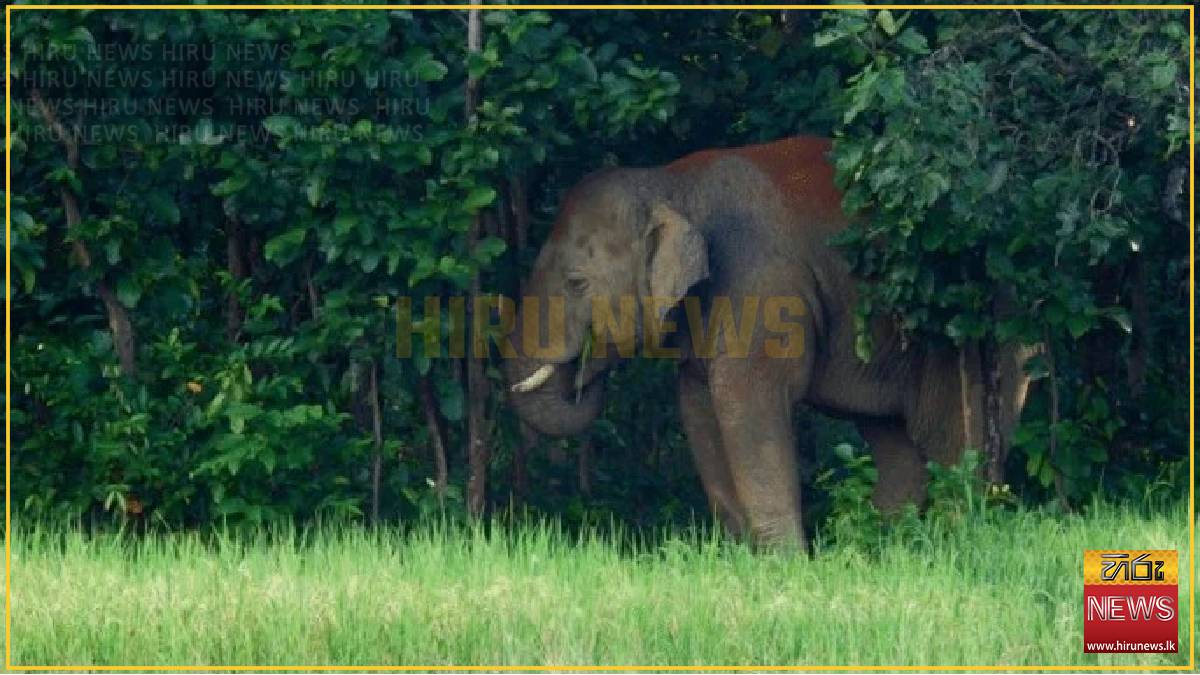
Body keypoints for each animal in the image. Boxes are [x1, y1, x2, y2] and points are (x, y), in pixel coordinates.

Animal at [503, 136, 1033, 549]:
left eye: (576, 282)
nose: (583, 371)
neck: (670, 184)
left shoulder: (764, 290)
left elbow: (747, 402)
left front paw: (786, 564)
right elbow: (699, 408)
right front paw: (741, 558)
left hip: (982, 334)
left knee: (953, 447)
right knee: (896, 445)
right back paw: (878, 546)